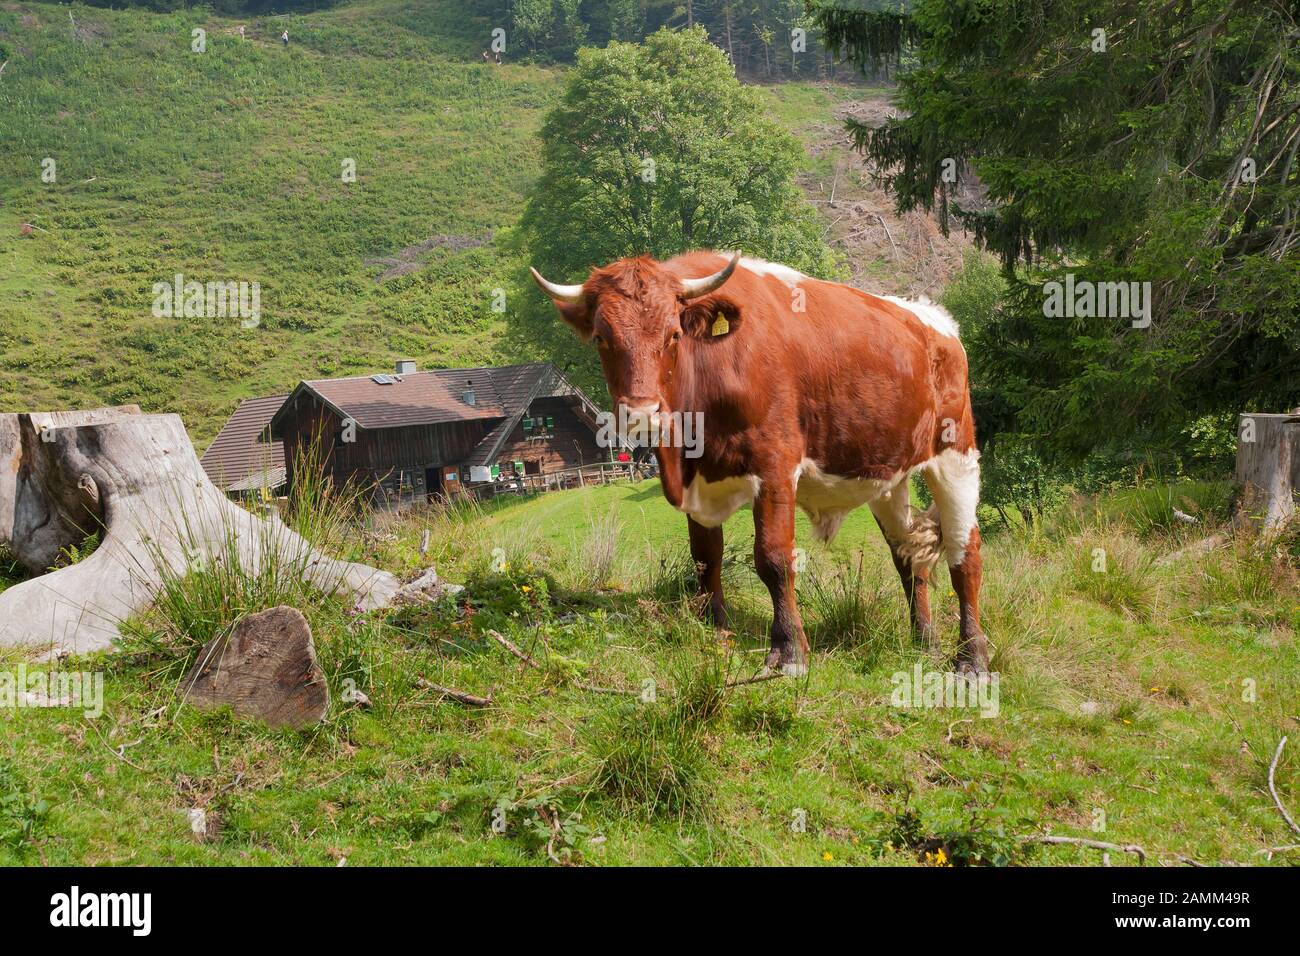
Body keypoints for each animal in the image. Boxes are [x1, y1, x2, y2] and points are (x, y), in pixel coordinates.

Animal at [531, 251, 989, 678]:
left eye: (674, 334)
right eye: (600, 338)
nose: (643, 412)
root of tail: (937, 322)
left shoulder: (775, 465)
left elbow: (773, 558)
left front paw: (789, 651)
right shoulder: (699, 483)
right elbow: (705, 557)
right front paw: (715, 632)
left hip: (957, 454)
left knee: (965, 553)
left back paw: (972, 658)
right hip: (887, 474)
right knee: (907, 555)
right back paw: (924, 641)